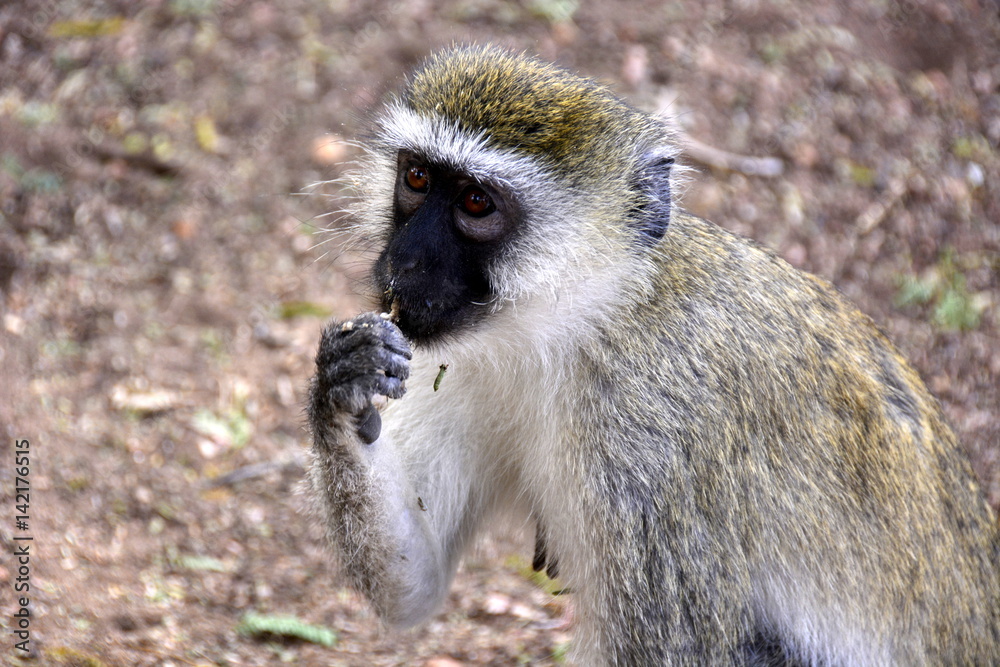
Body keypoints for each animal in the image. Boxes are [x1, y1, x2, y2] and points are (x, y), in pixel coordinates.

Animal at [306, 45, 1000, 665]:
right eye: (417, 177)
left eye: (477, 202)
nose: (403, 263)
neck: (579, 328)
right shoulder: (467, 365)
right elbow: (413, 586)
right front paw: (344, 379)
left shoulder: (652, 447)